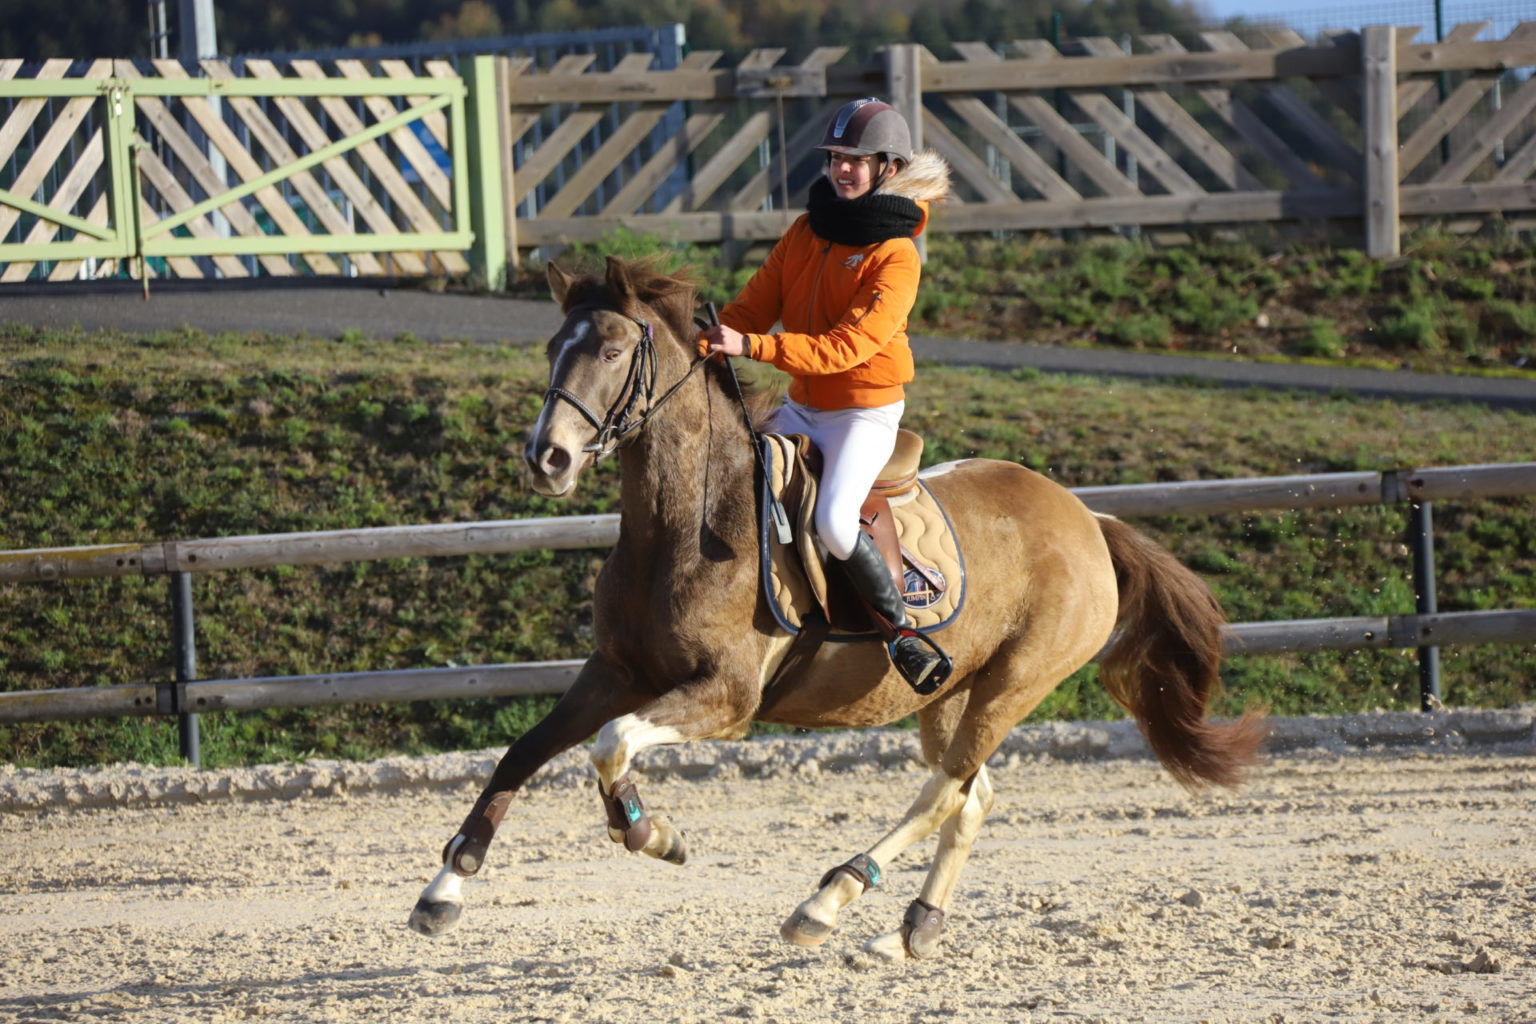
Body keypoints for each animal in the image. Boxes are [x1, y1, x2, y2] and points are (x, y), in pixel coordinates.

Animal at [408, 255, 1266, 960]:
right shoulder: (616, 671)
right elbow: (528, 751)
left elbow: (612, 744)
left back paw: (829, 899)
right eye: (555, 347)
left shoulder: (727, 697)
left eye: (613, 351)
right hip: (950, 693)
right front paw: (446, 887)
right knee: (971, 792)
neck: (685, 526)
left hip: (1018, 681)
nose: (546, 458)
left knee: (944, 789)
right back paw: (912, 931)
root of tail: (1089, 518)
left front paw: (653, 833)